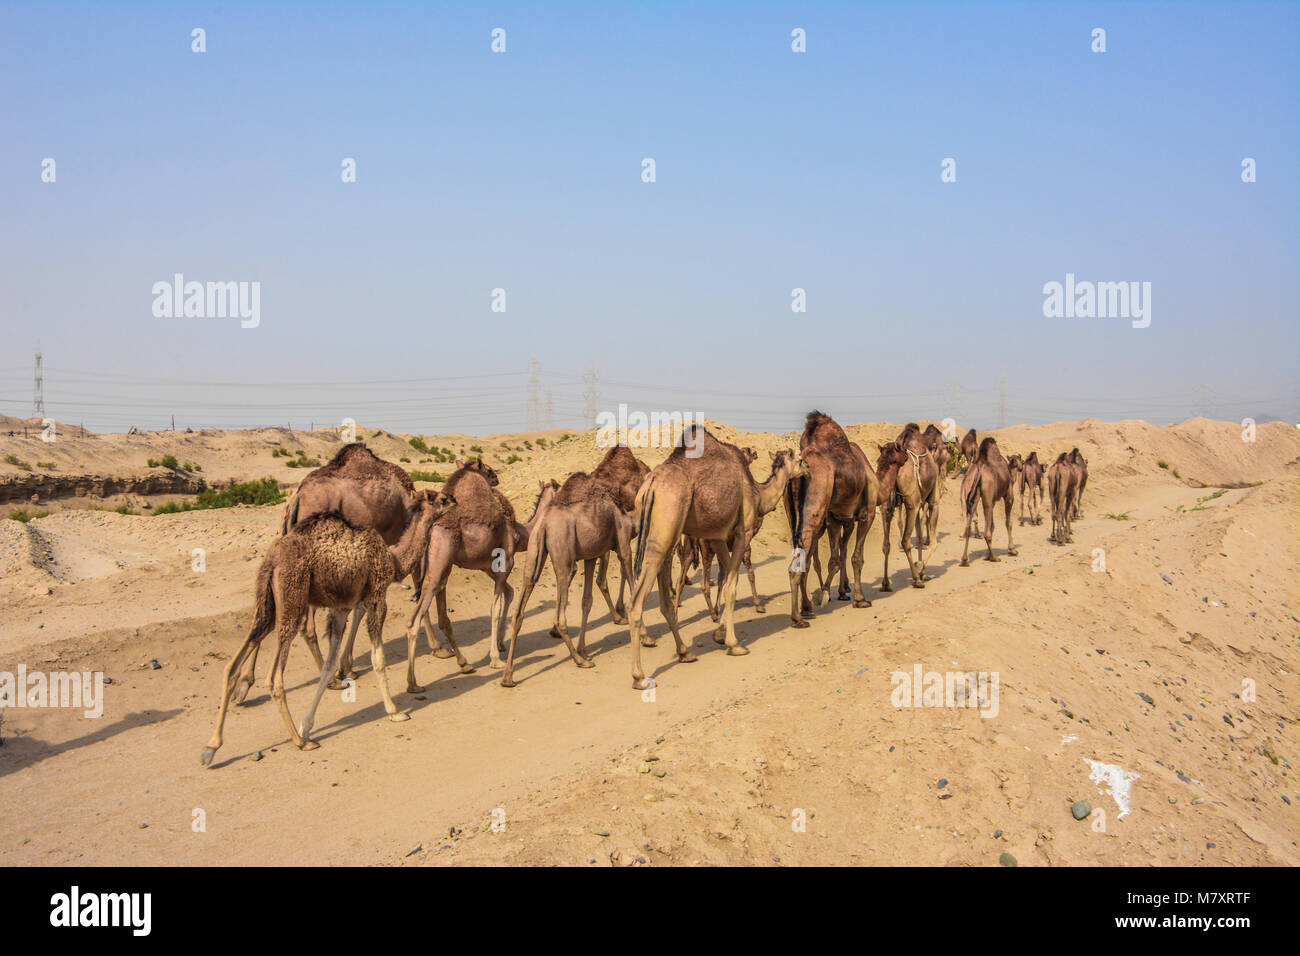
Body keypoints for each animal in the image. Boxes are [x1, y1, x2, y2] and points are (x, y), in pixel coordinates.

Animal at [200, 492, 455, 766]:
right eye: (441, 499)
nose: (454, 500)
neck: (393, 561)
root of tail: (272, 561)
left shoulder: (341, 609)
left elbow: (329, 665)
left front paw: (307, 725)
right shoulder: (377, 595)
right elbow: (378, 658)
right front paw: (395, 711)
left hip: (266, 604)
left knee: (233, 664)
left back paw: (212, 746)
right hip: (291, 600)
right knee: (274, 677)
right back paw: (299, 742)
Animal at [499, 468, 638, 687]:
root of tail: (544, 525)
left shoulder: (590, 555)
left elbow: (587, 600)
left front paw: (585, 649)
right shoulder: (622, 540)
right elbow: (631, 583)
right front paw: (647, 637)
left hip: (534, 554)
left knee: (519, 611)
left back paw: (508, 676)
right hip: (563, 556)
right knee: (560, 616)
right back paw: (579, 660)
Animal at [627, 426, 804, 689]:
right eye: (800, 459)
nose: (808, 468)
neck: (757, 492)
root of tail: (652, 485)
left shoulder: (718, 537)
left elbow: (727, 578)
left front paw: (720, 633)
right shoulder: (743, 532)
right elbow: (731, 584)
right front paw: (734, 644)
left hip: (662, 530)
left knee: (665, 599)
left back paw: (685, 652)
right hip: (663, 531)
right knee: (636, 602)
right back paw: (639, 676)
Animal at [785, 412, 880, 627]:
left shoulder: (836, 518)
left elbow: (837, 557)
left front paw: (836, 592)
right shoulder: (867, 513)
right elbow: (856, 557)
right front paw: (860, 599)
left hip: (795, 516)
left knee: (803, 556)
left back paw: (806, 608)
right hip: (815, 508)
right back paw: (797, 618)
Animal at [875, 423, 940, 590]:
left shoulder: (915, 503)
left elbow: (919, 538)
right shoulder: (930, 500)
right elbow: (933, 542)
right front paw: (922, 571)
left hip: (887, 505)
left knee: (886, 543)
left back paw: (885, 583)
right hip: (913, 503)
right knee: (905, 540)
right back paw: (917, 579)